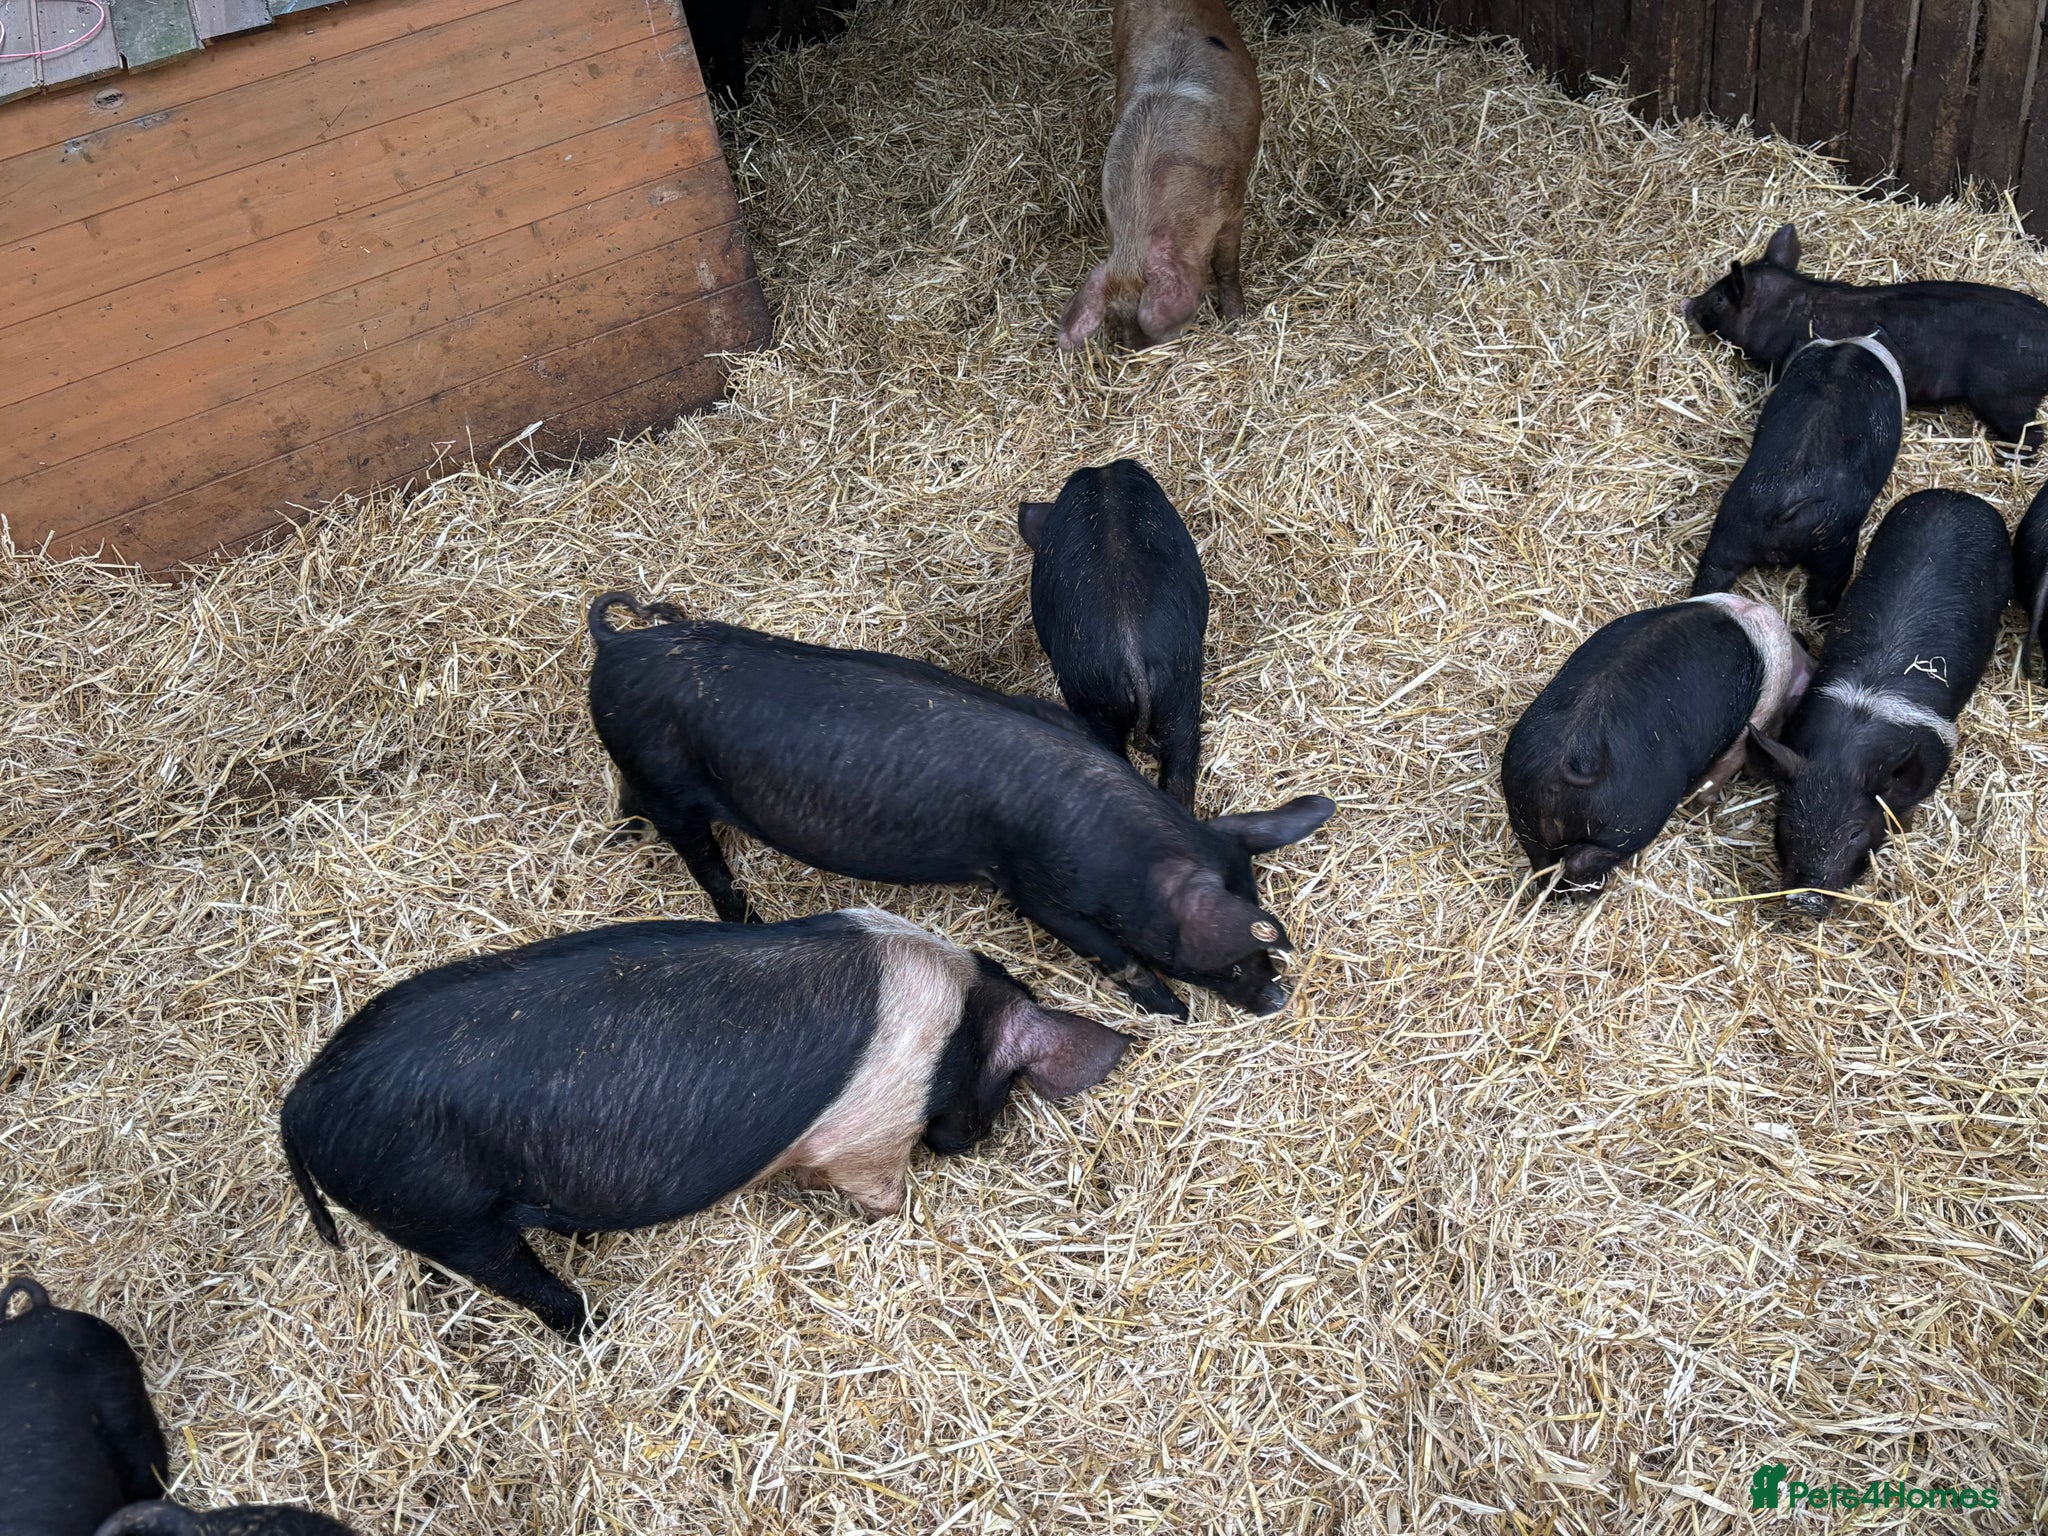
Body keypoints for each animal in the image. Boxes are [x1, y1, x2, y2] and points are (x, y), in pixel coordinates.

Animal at [281, 910, 1132, 1336]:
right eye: (1004, 1091)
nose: (967, 1142)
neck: (958, 1023)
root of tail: (302, 1101)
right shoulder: (869, 1133)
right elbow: (880, 1191)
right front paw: (894, 1218)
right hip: (442, 1208)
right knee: (523, 1283)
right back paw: (595, 1329)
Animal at [587, 592, 1334, 1018]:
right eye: (1226, 961)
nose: (1277, 998)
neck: (1125, 854)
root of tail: (616, 644)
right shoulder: (1032, 889)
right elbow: (1106, 952)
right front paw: (1173, 1012)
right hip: (669, 781)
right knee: (700, 857)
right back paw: (741, 916)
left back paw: (622, 838)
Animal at [1501, 593, 1813, 895]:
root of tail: (1570, 757)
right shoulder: (1756, 717)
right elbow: (1715, 778)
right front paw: (1705, 816)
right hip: (1636, 817)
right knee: (1582, 861)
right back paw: (1593, 895)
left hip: (1524, 816)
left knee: (1542, 863)